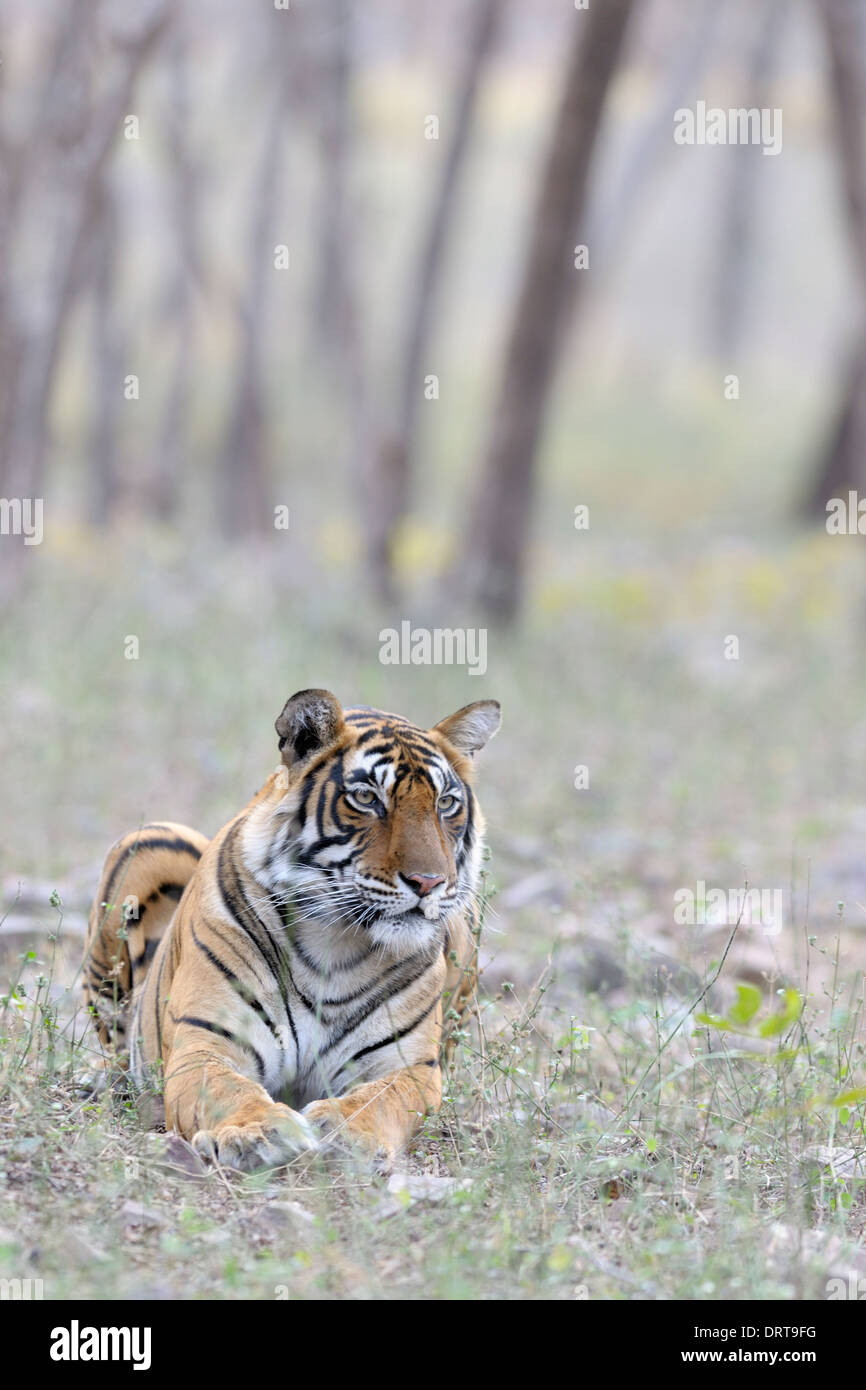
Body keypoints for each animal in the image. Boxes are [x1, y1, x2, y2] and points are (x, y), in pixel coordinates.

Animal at [82, 689, 500, 1172]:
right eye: (367, 797)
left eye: (446, 803)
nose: (429, 882)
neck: (337, 942)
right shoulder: (206, 1042)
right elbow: (226, 1089)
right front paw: (258, 1133)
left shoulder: (409, 1065)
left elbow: (381, 1100)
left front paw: (345, 1132)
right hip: (147, 842)